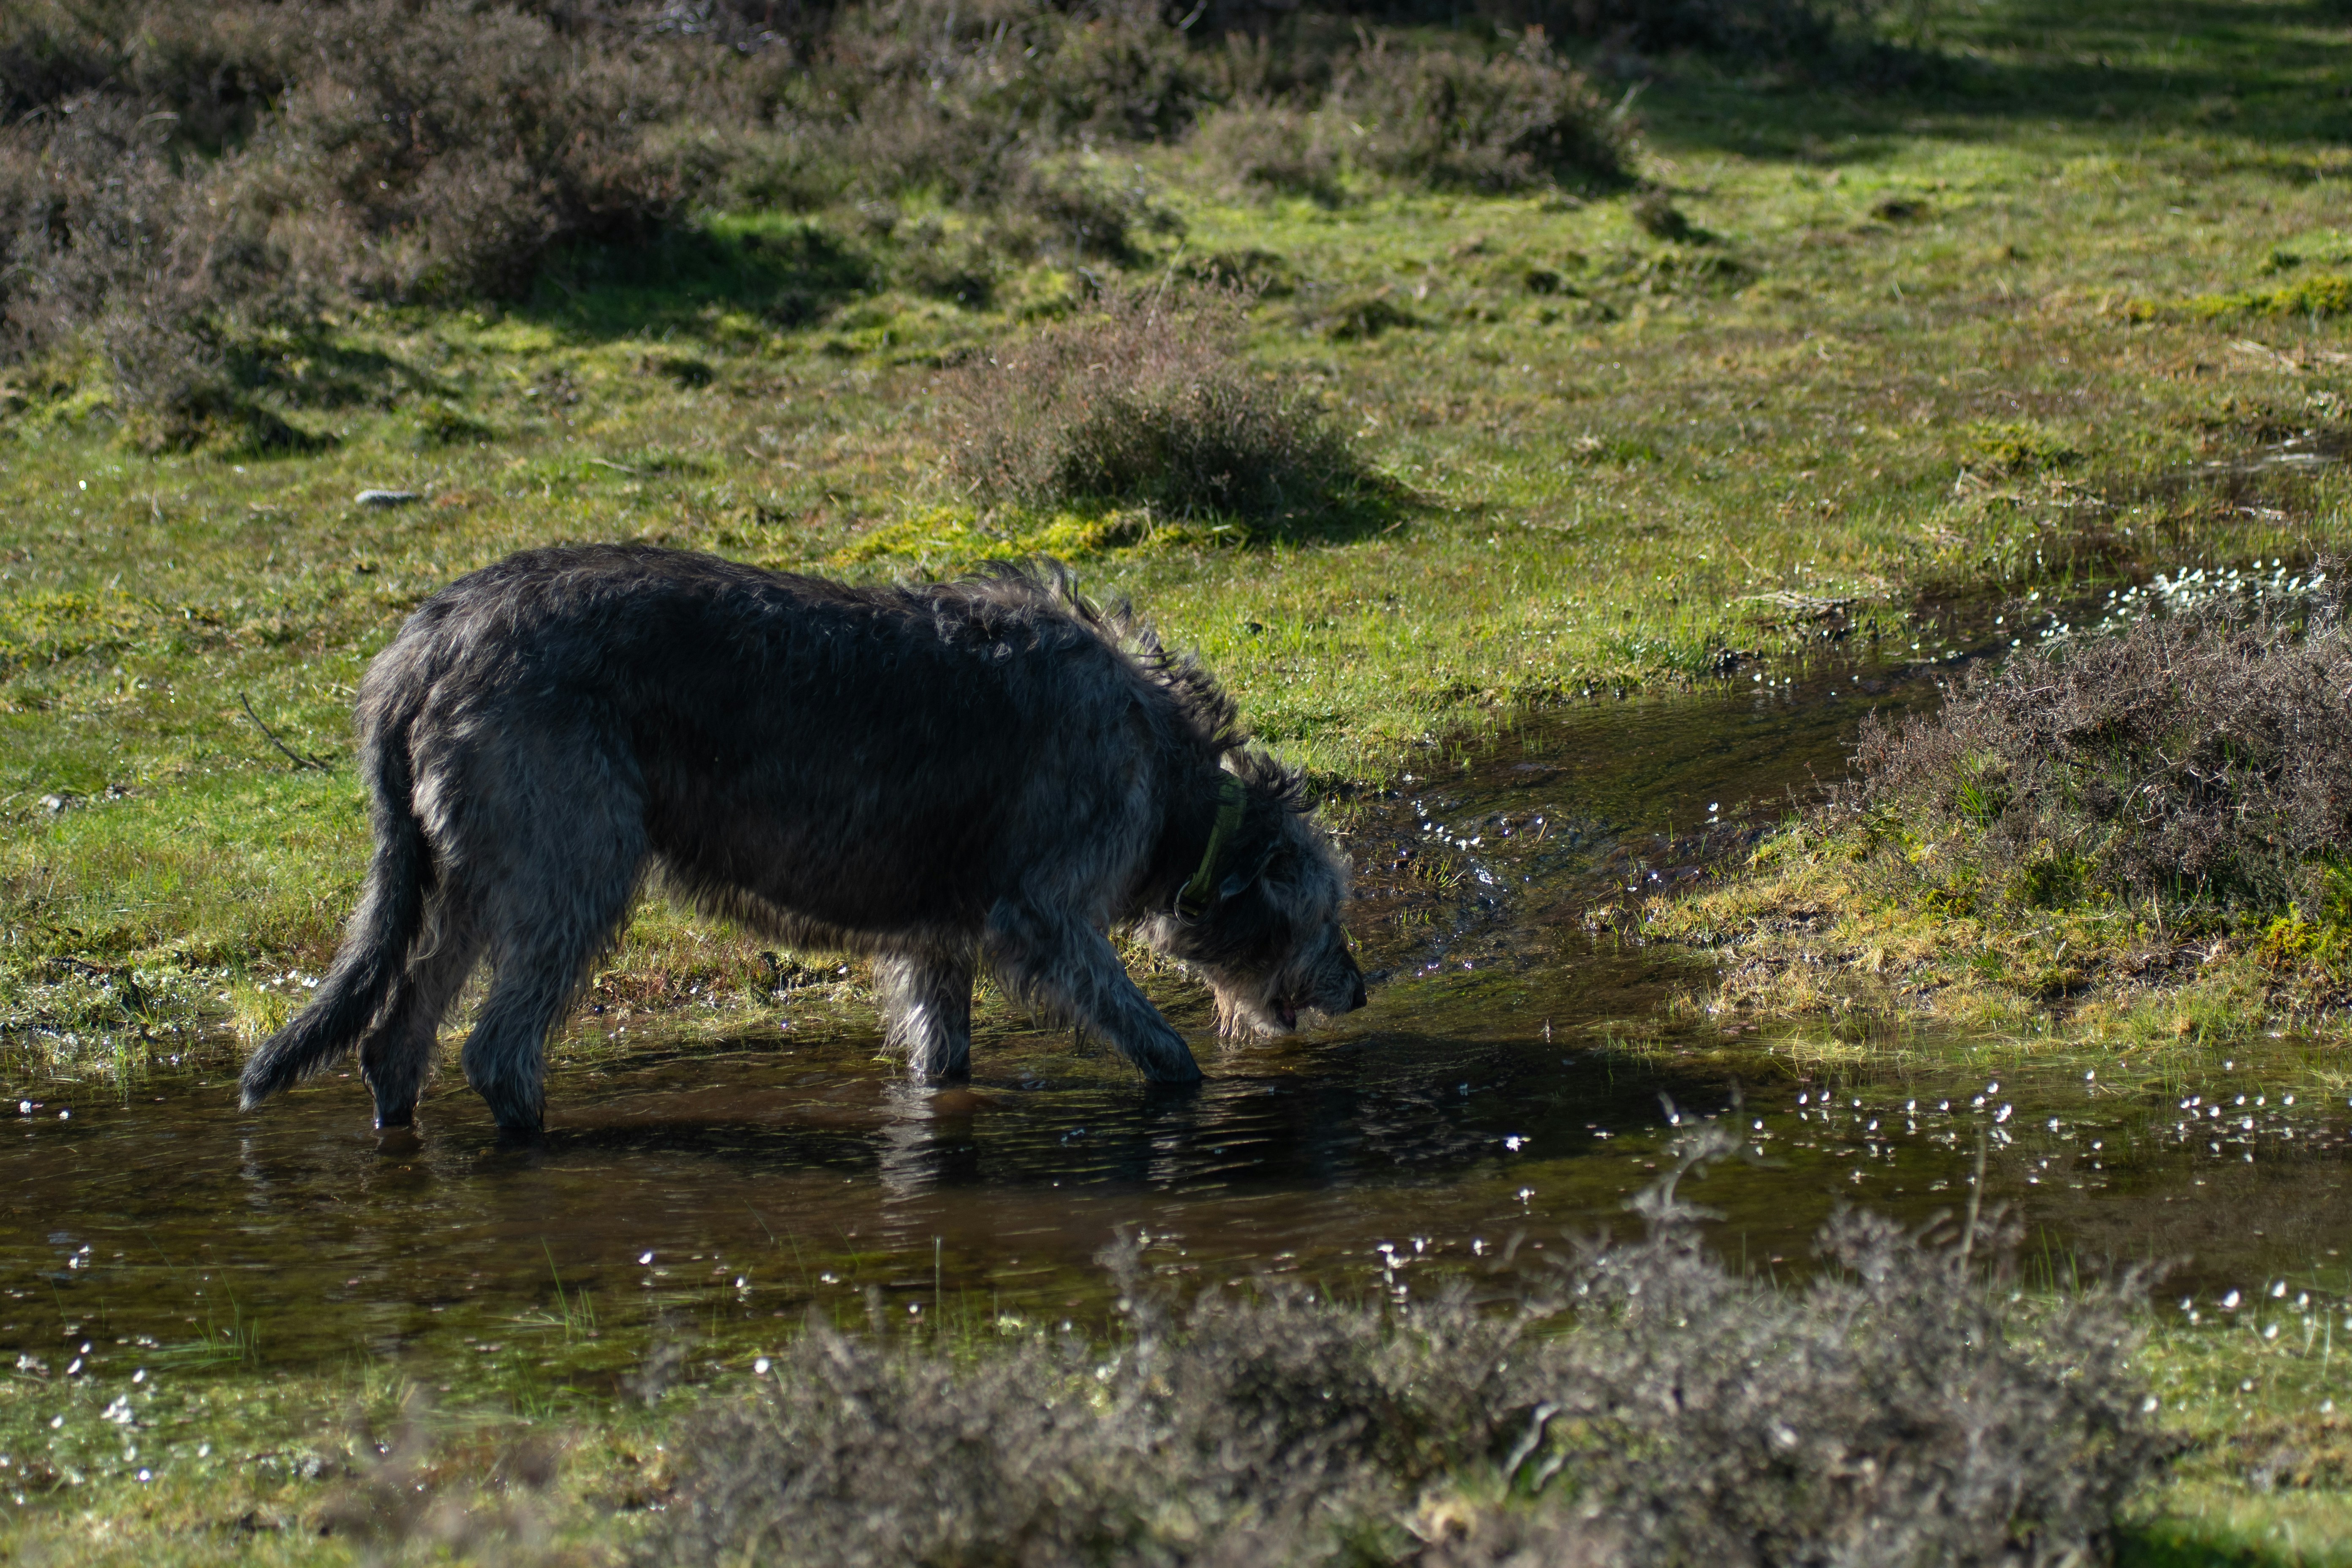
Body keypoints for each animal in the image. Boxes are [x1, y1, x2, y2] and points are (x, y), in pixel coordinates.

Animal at [238, 545, 1367, 1138]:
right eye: (1327, 911)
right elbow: (1149, 1034)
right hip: (575, 856)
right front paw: (1186, 1084)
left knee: (398, 1029)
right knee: (495, 1044)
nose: (1360, 990)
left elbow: (940, 1041)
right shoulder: (1043, 911)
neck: (1177, 789)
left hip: (466, 861)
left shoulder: (939, 933)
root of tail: (423, 643)